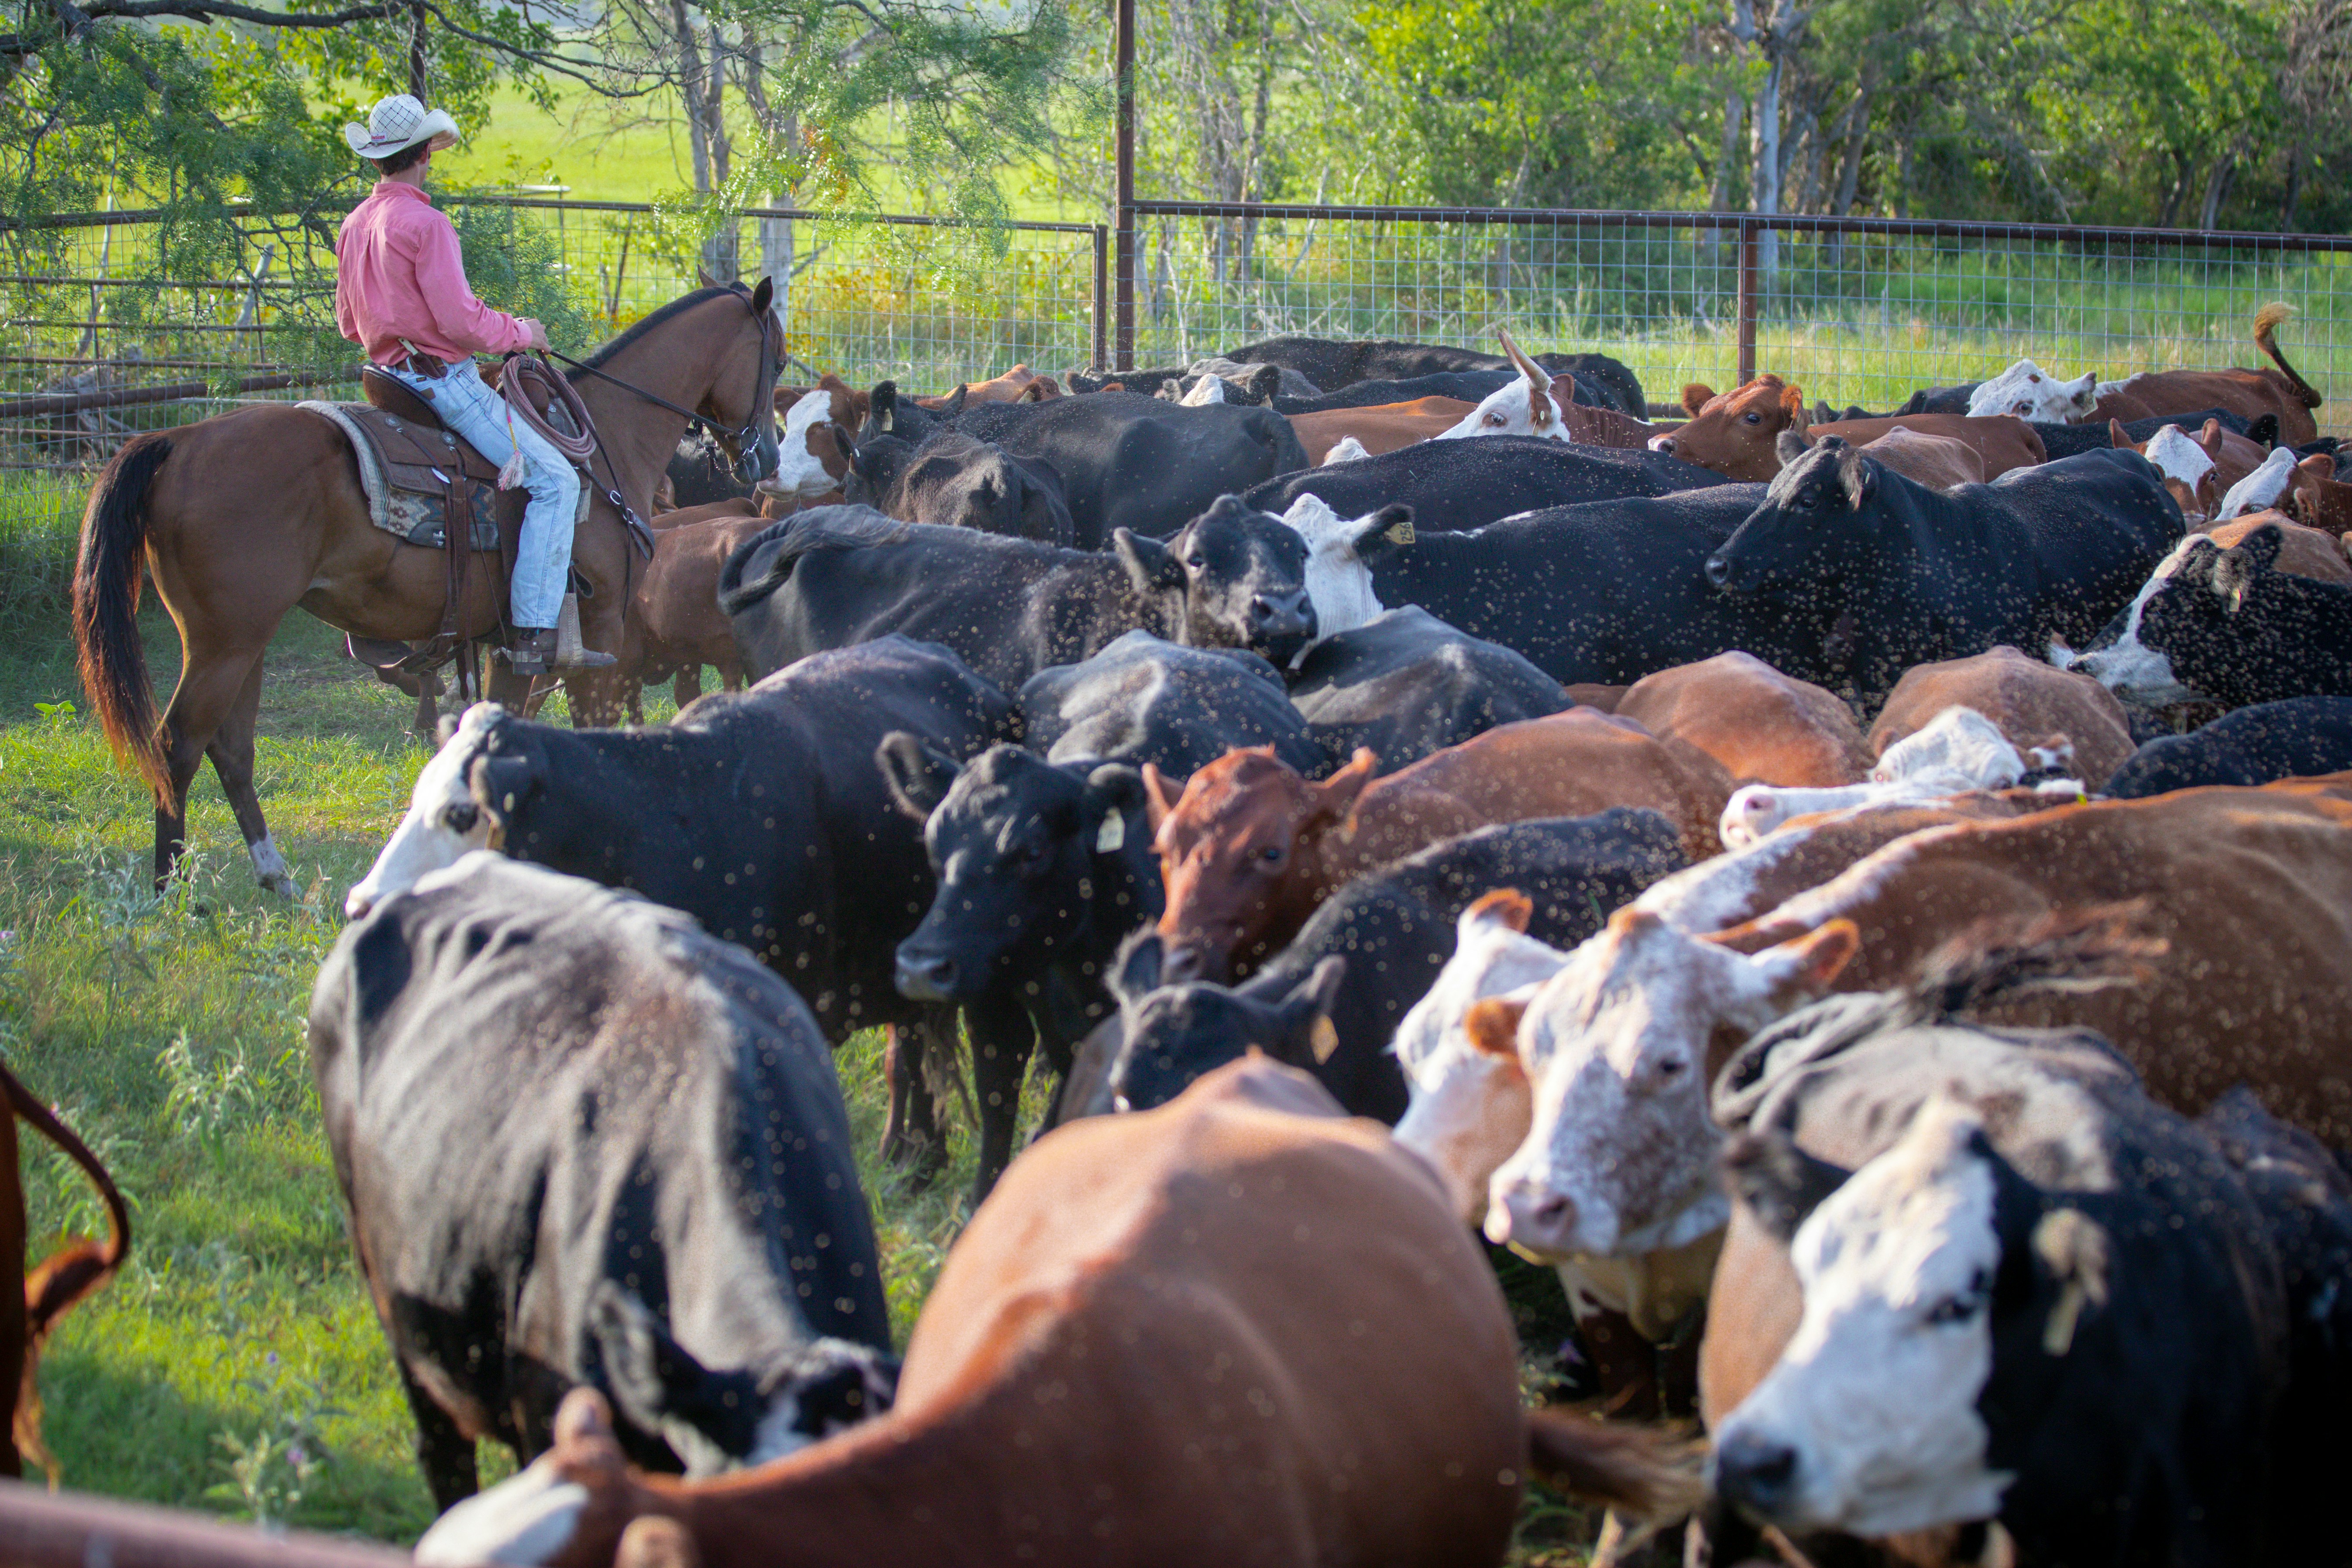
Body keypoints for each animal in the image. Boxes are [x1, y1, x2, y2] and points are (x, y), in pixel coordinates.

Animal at [72, 278, 784, 897]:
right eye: (775, 360)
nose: (766, 459)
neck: (609, 437)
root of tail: (174, 442)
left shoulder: (510, 645)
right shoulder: (600, 635)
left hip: (245, 641)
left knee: (231, 749)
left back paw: (275, 877)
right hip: (225, 642)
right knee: (178, 746)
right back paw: (169, 891)